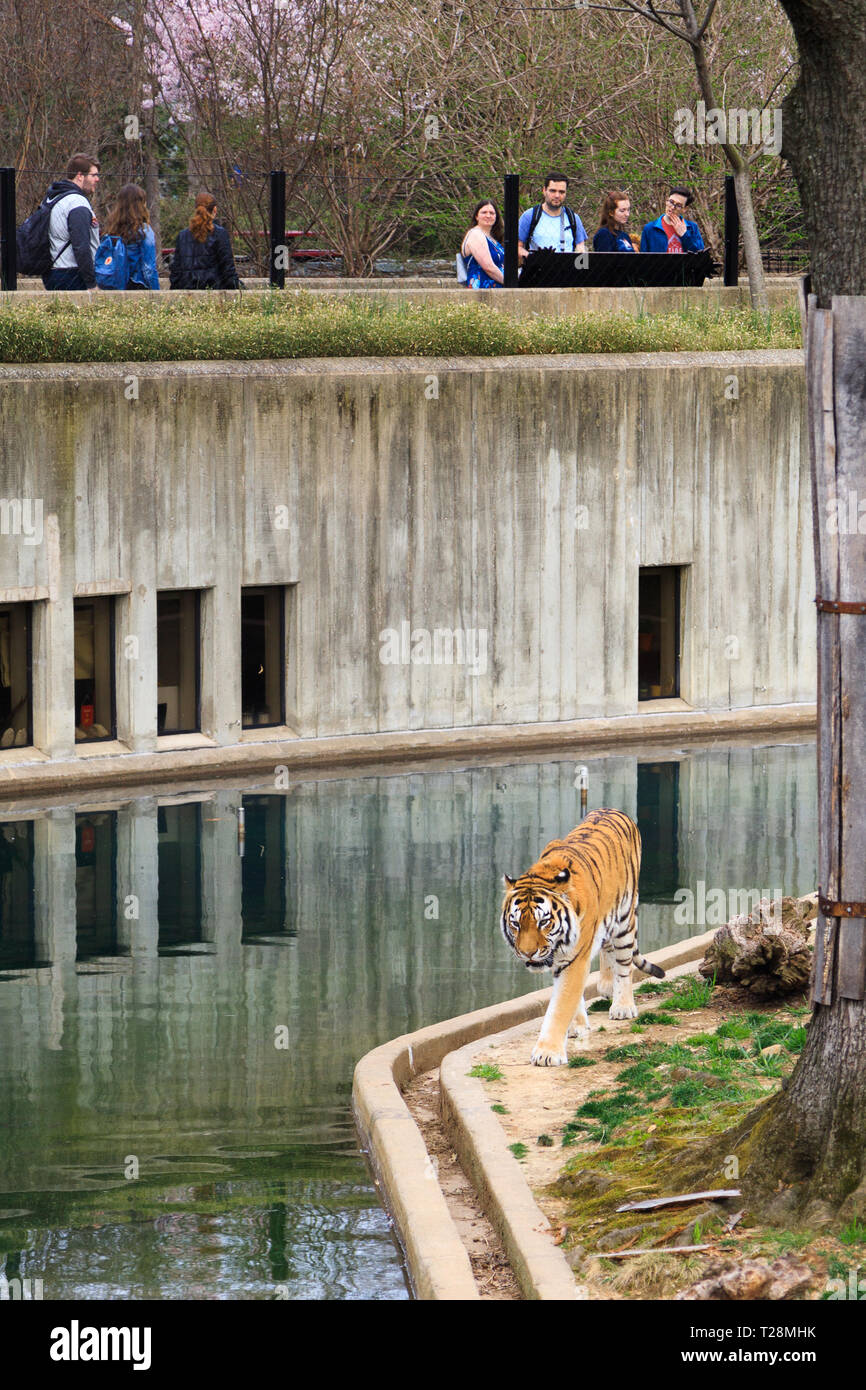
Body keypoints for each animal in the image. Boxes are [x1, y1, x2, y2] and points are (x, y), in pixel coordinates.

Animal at [500, 808, 665, 1066]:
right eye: (516, 923)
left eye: (543, 922)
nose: (528, 953)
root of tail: (614, 810)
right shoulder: (561, 958)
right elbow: (572, 997)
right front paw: (576, 1026)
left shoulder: (575, 957)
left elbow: (561, 1005)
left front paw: (547, 1053)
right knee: (609, 949)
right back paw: (606, 985)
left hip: (625, 919)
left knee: (624, 965)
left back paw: (623, 1006)